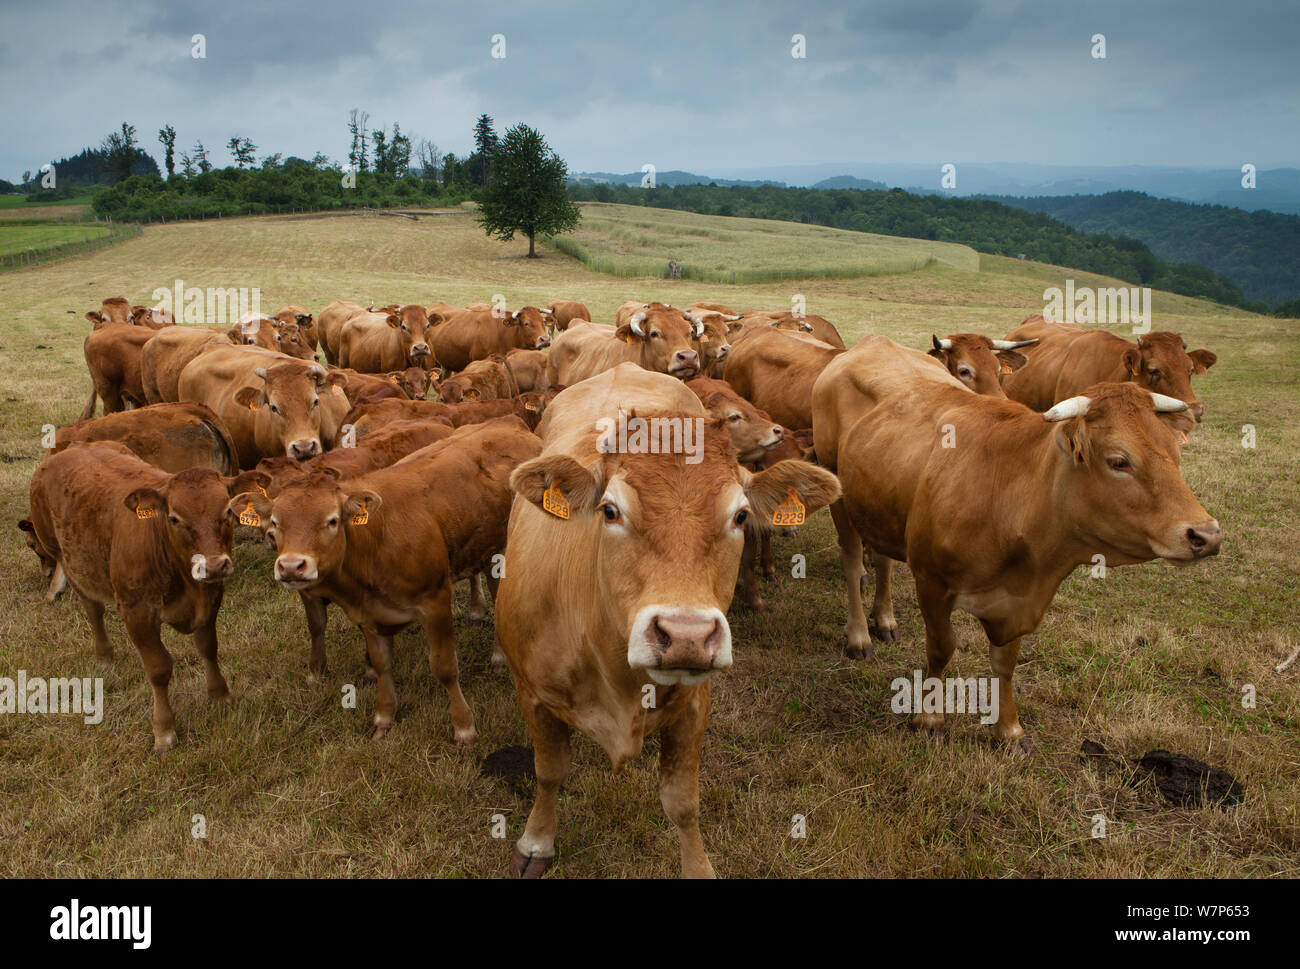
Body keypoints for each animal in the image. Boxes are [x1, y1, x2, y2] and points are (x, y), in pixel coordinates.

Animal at [26, 441, 247, 751]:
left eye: (227, 510)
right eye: (174, 518)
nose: (214, 565)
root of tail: (73, 447)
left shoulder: (212, 595)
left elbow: (208, 648)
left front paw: (219, 696)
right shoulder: (137, 612)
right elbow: (159, 669)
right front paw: (164, 730)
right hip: (68, 559)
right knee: (93, 609)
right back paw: (104, 655)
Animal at [231, 418, 542, 739]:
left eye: (331, 520)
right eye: (276, 520)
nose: (291, 566)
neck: (375, 541)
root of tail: (507, 422)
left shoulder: (435, 601)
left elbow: (444, 667)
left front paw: (464, 727)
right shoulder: (368, 614)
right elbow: (382, 665)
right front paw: (384, 718)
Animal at [495, 363, 841, 877]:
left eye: (741, 516)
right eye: (610, 510)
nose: (686, 636)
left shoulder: (695, 704)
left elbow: (682, 801)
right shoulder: (533, 695)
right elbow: (549, 771)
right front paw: (537, 842)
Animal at [811, 335, 1222, 749]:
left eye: (1175, 453)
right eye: (1119, 461)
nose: (1207, 534)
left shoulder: (1020, 601)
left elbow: (1005, 663)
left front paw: (1008, 729)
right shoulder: (931, 581)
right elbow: (941, 650)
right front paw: (929, 718)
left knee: (882, 559)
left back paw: (885, 618)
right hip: (839, 491)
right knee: (852, 562)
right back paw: (860, 635)